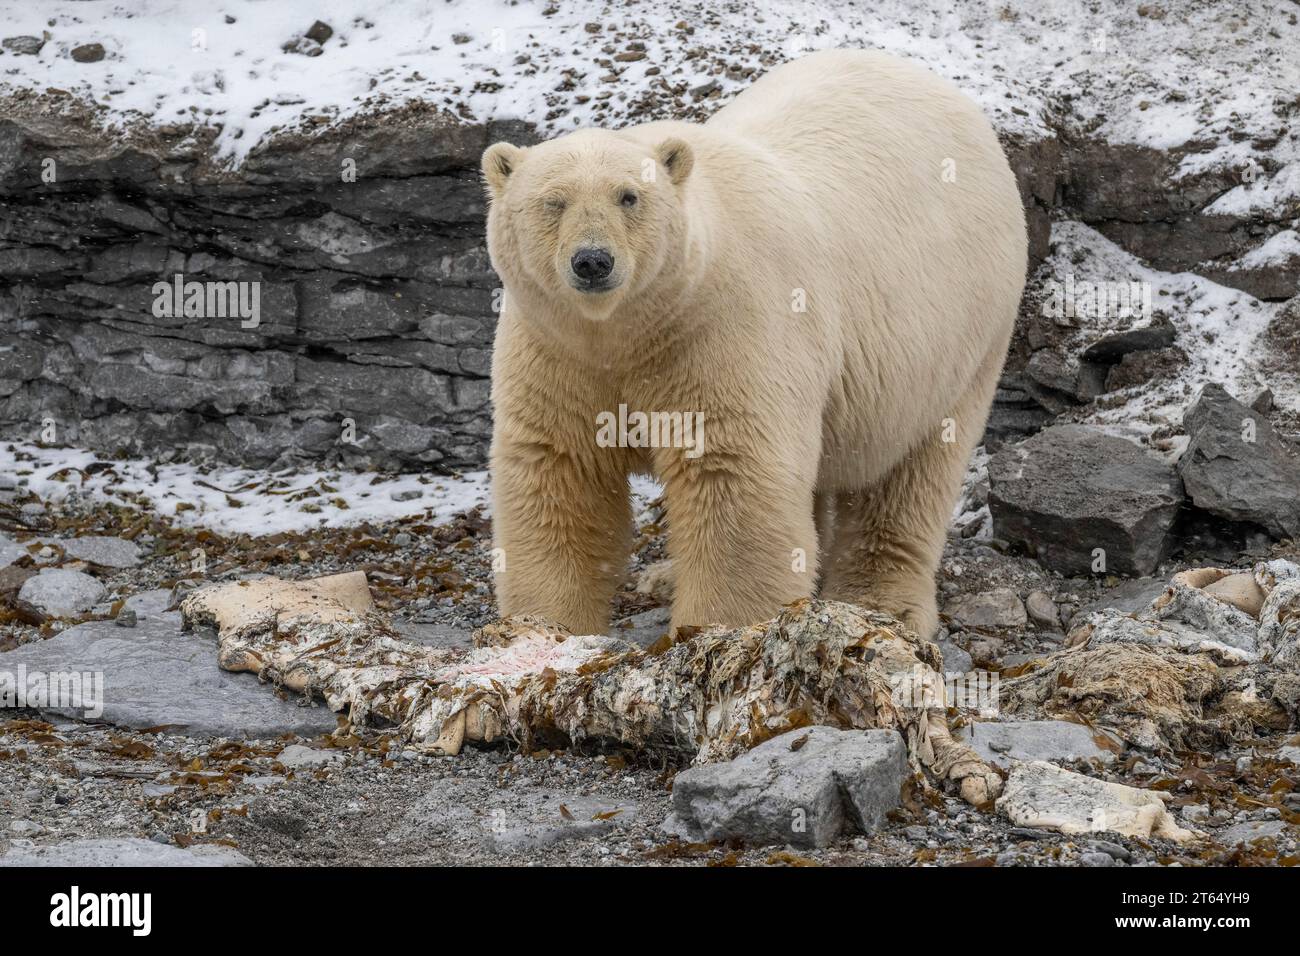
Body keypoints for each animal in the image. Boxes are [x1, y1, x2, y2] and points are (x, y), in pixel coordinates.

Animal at [481, 49, 1026, 639]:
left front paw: (718, 628)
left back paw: (881, 600)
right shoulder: (557, 349)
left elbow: (733, 472)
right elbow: (560, 472)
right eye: (552, 202)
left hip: (959, 330)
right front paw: (545, 628)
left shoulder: (722, 329)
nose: (592, 261)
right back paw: (669, 576)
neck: (630, 329)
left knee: (911, 467)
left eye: (629, 196)